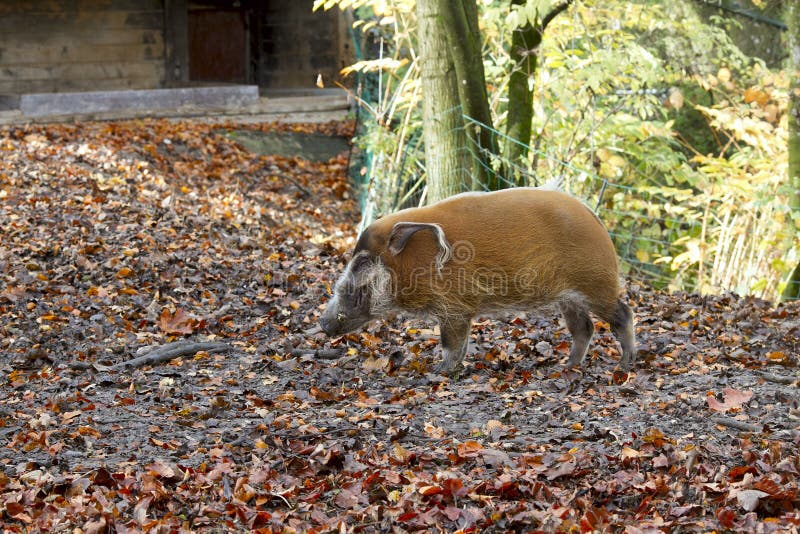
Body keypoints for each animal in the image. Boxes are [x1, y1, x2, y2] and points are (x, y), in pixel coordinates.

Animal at [319, 186, 636, 376]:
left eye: (362, 263)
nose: (323, 323)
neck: (416, 261)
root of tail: (597, 220)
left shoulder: (454, 308)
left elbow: (451, 343)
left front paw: (440, 372)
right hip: (569, 298)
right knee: (584, 328)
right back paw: (566, 365)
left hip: (597, 287)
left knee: (622, 314)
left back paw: (623, 365)